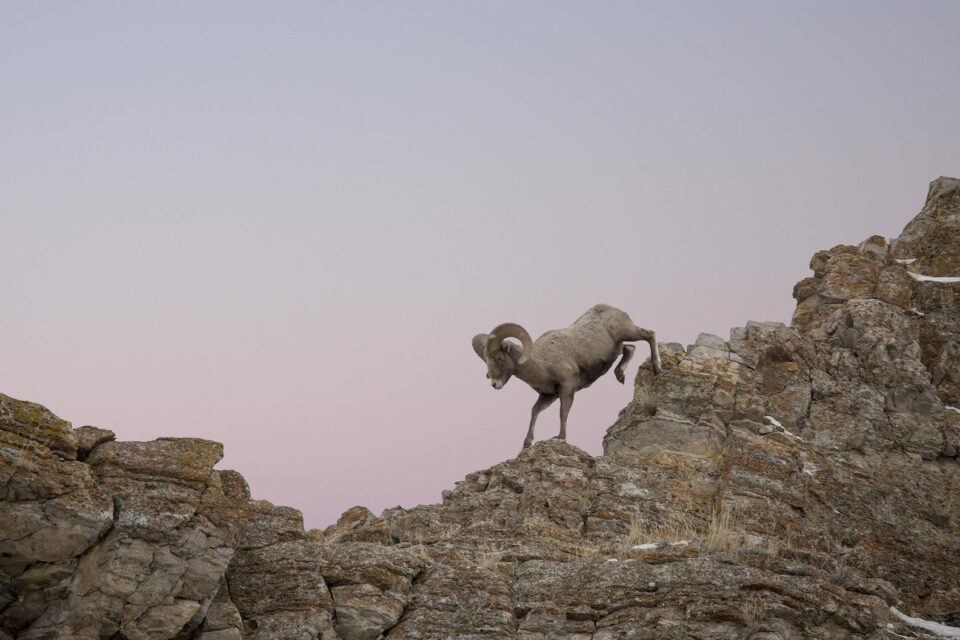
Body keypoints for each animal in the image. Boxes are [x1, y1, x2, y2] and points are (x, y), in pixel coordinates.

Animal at [472, 304, 662, 449]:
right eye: (486, 361)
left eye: (499, 358)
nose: (495, 384)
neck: (541, 362)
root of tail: (614, 309)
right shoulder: (548, 395)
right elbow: (534, 411)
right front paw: (527, 443)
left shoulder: (567, 388)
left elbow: (563, 412)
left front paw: (561, 437)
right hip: (616, 348)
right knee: (629, 348)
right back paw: (620, 375)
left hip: (629, 332)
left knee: (649, 334)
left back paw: (657, 367)